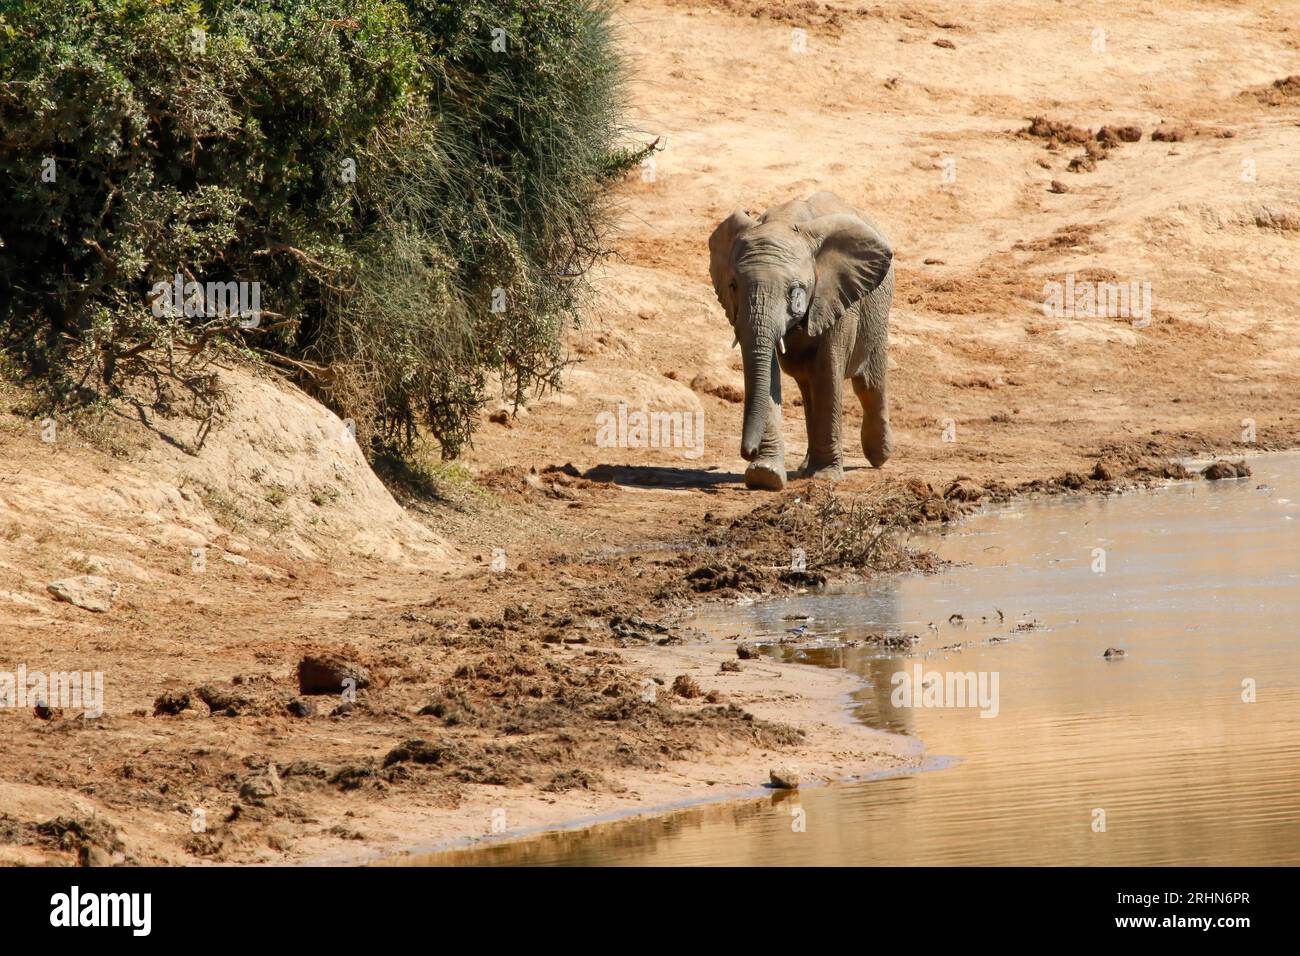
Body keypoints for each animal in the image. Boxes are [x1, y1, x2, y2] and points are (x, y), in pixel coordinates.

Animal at [708, 191, 895, 490]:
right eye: (733, 286)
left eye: (795, 290)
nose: (748, 451)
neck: (785, 220)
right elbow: (768, 370)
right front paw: (765, 475)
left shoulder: (836, 295)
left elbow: (829, 368)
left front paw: (825, 477)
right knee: (808, 386)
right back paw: (806, 466)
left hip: (877, 313)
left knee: (868, 384)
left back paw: (879, 455)